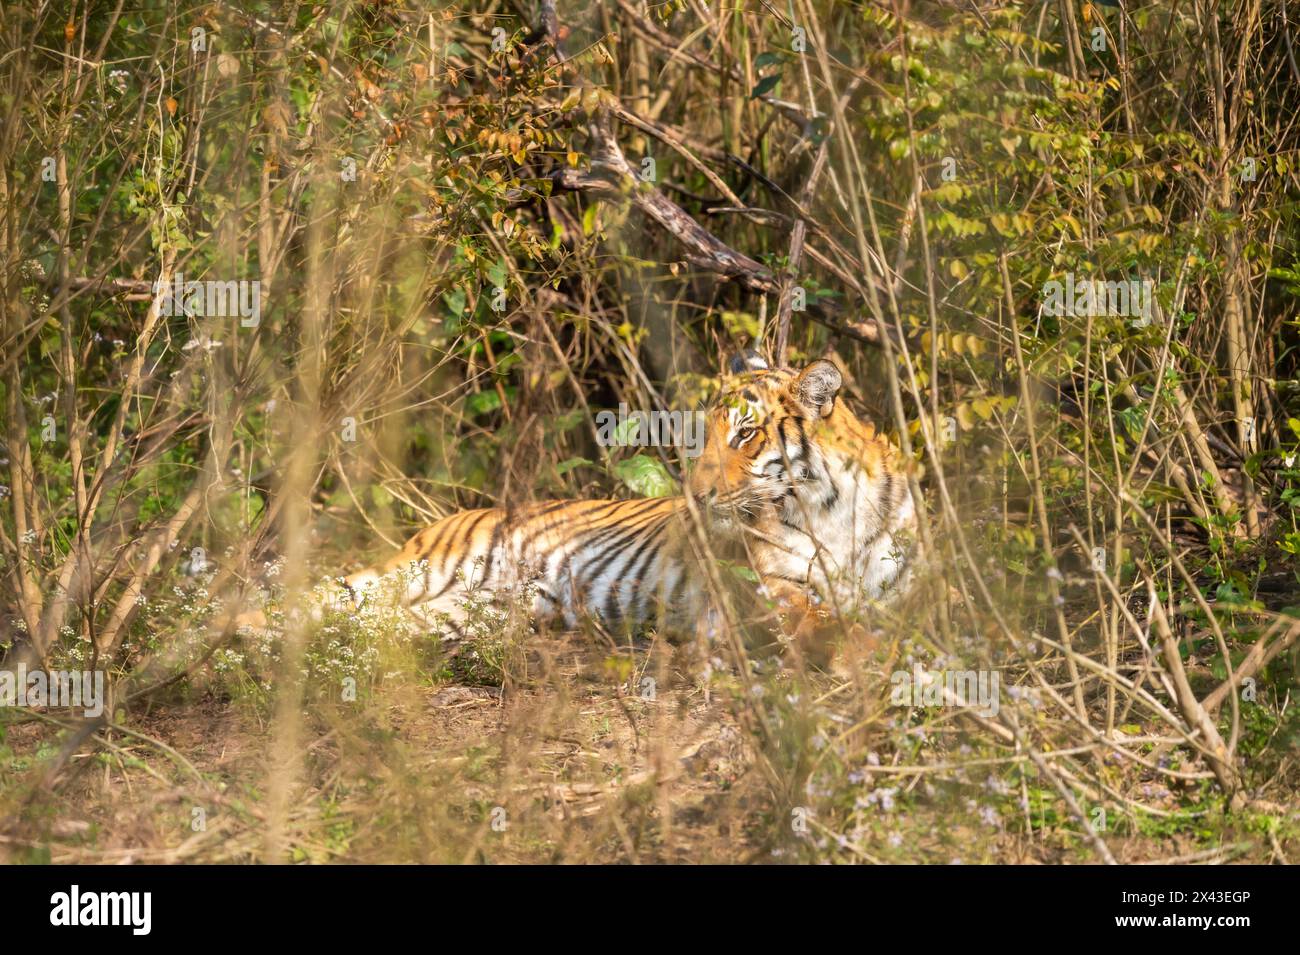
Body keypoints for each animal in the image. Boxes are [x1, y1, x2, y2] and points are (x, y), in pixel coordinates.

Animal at [334, 351, 917, 659]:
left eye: (745, 434)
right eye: (705, 435)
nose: (695, 495)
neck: (832, 507)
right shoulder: (779, 595)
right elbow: (835, 628)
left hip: (459, 614)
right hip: (426, 568)